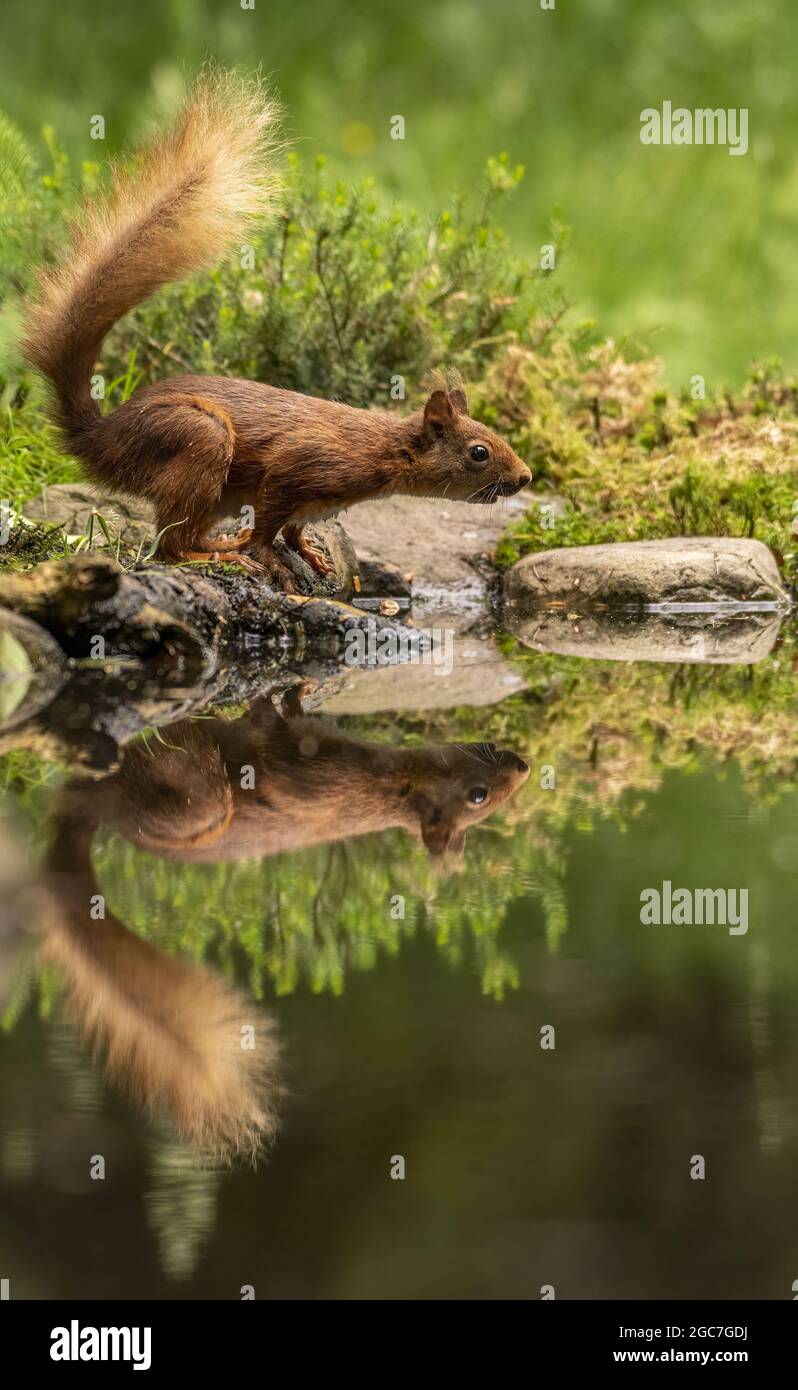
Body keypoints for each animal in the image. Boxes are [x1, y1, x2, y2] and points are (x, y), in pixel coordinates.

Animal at [21, 69, 532, 591]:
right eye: (478, 452)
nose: (526, 477)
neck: (382, 450)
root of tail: (100, 440)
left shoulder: (312, 501)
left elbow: (294, 528)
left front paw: (309, 554)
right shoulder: (298, 468)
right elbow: (268, 524)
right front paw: (273, 560)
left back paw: (221, 543)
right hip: (198, 441)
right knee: (169, 546)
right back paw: (218, 556)